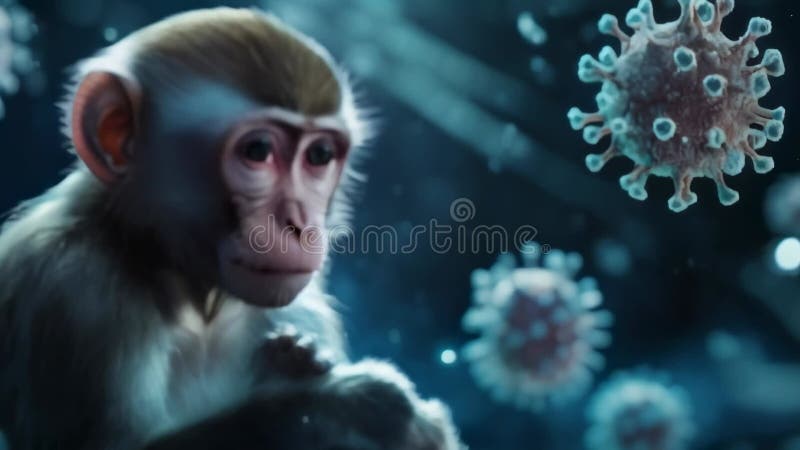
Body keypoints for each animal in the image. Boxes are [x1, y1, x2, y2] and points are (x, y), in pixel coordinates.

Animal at [0, 8, 461, 450]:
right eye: (258, 150)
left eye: (320, 154)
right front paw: (345, 405)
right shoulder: (73, 291)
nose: (299, 225)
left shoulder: (303, 307)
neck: (192, 299)